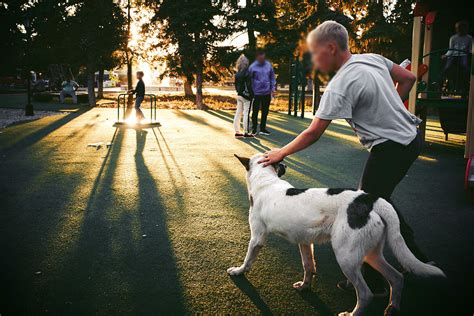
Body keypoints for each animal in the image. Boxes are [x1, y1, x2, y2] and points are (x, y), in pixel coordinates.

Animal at [229, 154, 444, 316]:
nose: (285, 163)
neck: (266, 181)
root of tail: (369, 199)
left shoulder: (257, 238)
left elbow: (248, 260)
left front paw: (238, 271)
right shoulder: (305, 243)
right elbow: (309, 266)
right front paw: (305, 286)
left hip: (346, 257)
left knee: (365, 294)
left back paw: (352, 313)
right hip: (372, 254)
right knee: (397, 278)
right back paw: (392, 308)